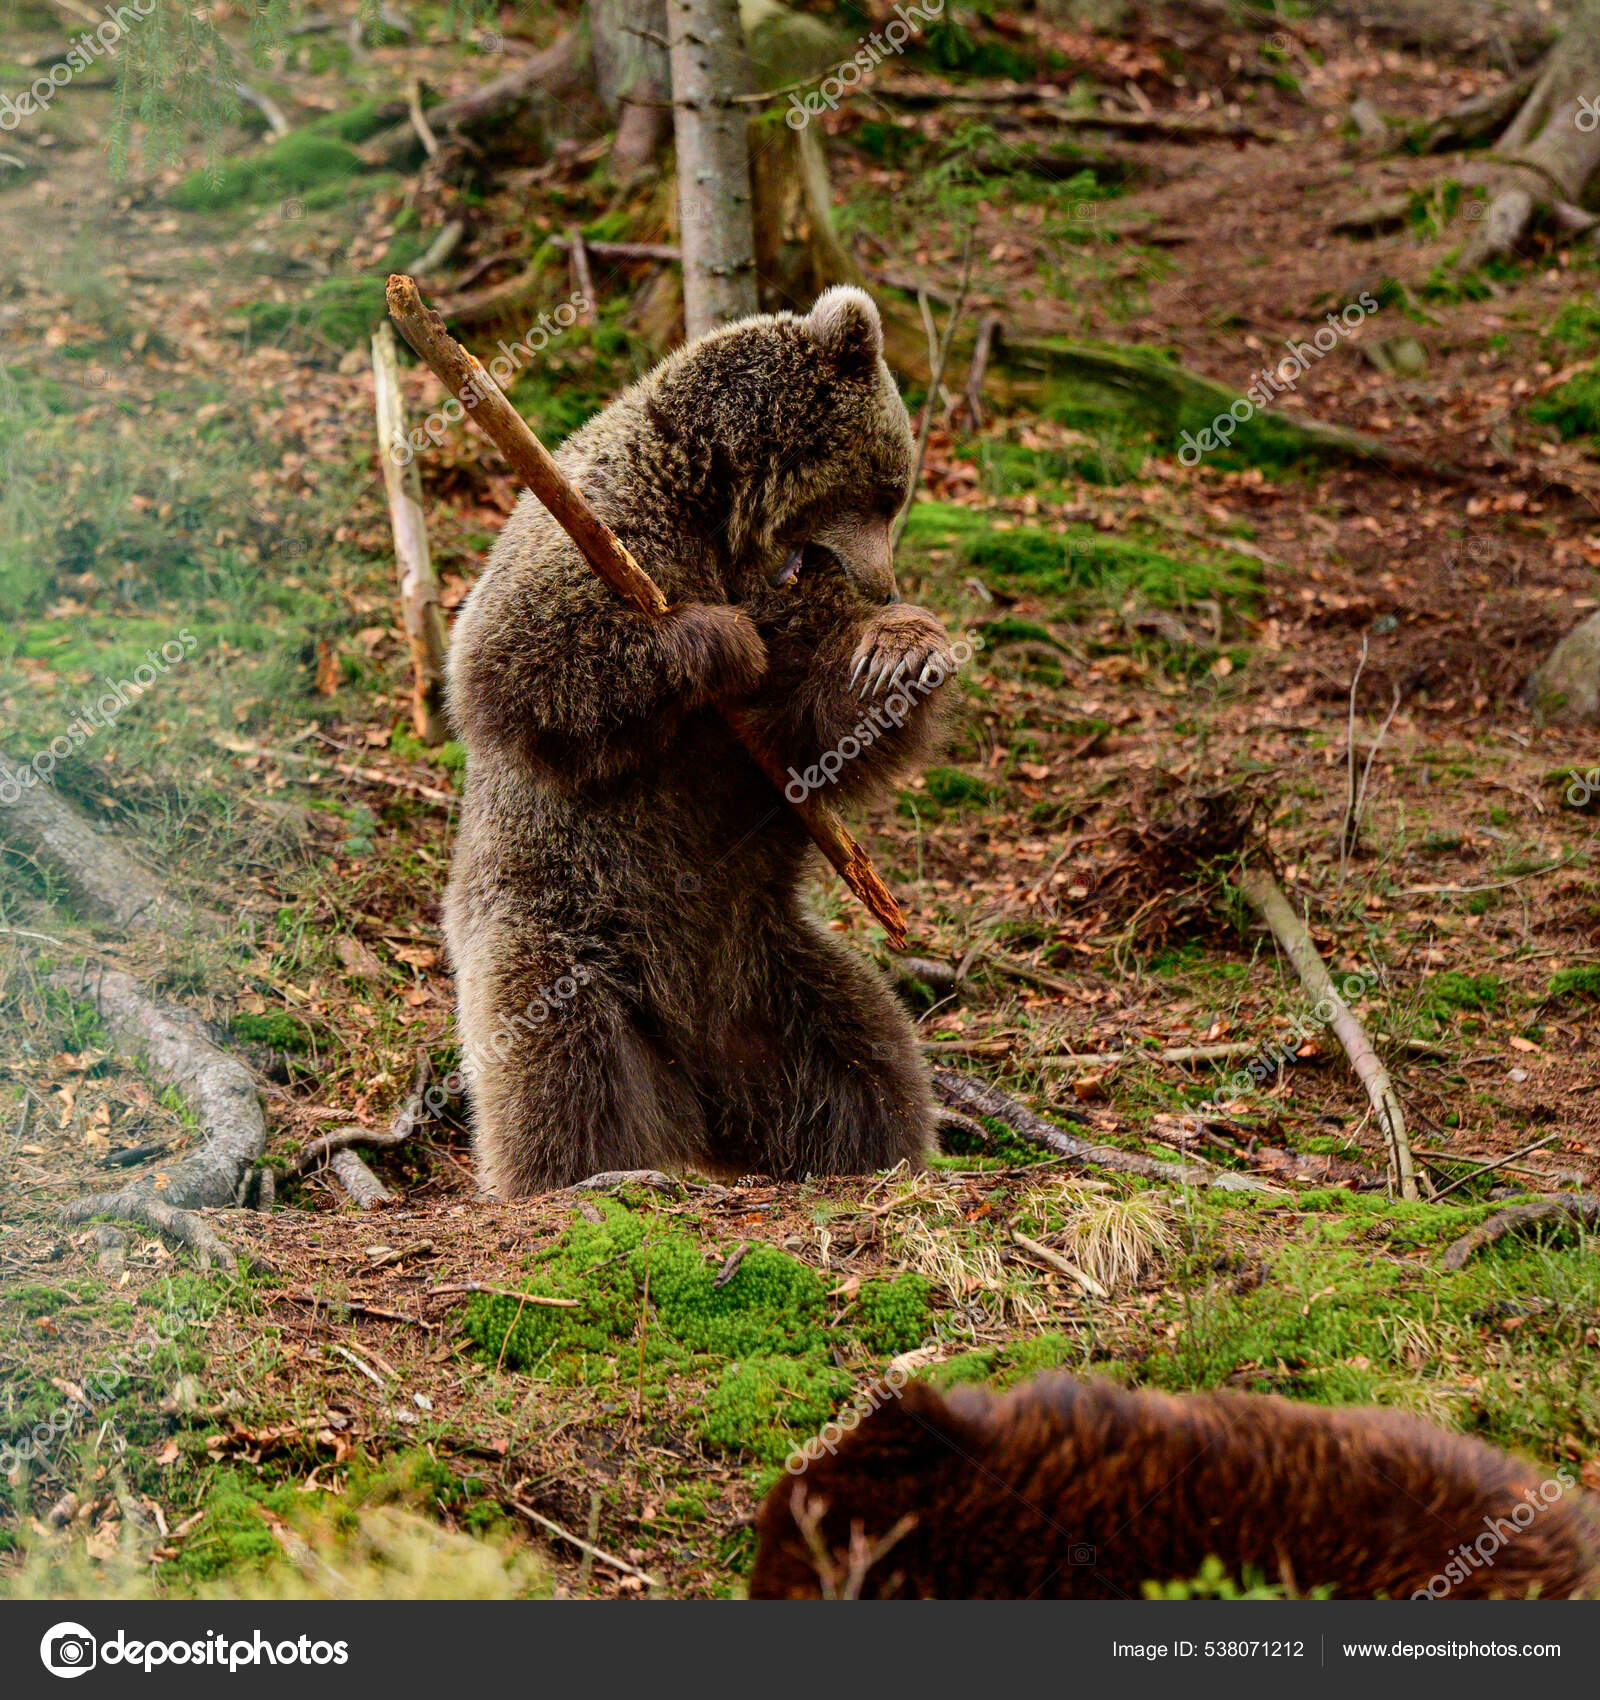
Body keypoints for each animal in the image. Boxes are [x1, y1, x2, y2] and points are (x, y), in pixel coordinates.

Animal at [443, 287, 959, 1196]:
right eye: (891, 487)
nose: (886, 582)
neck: (726, 526)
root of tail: (699, 1073)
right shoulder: (604, 525)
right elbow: (514, 664)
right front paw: (714, 640)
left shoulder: (791, 637)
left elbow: (808, 734)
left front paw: (902, 651)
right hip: (564, 930)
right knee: (565, 1065)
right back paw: (581, 1172)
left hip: (767, 967)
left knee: (864, 1058)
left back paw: (879, 1151)